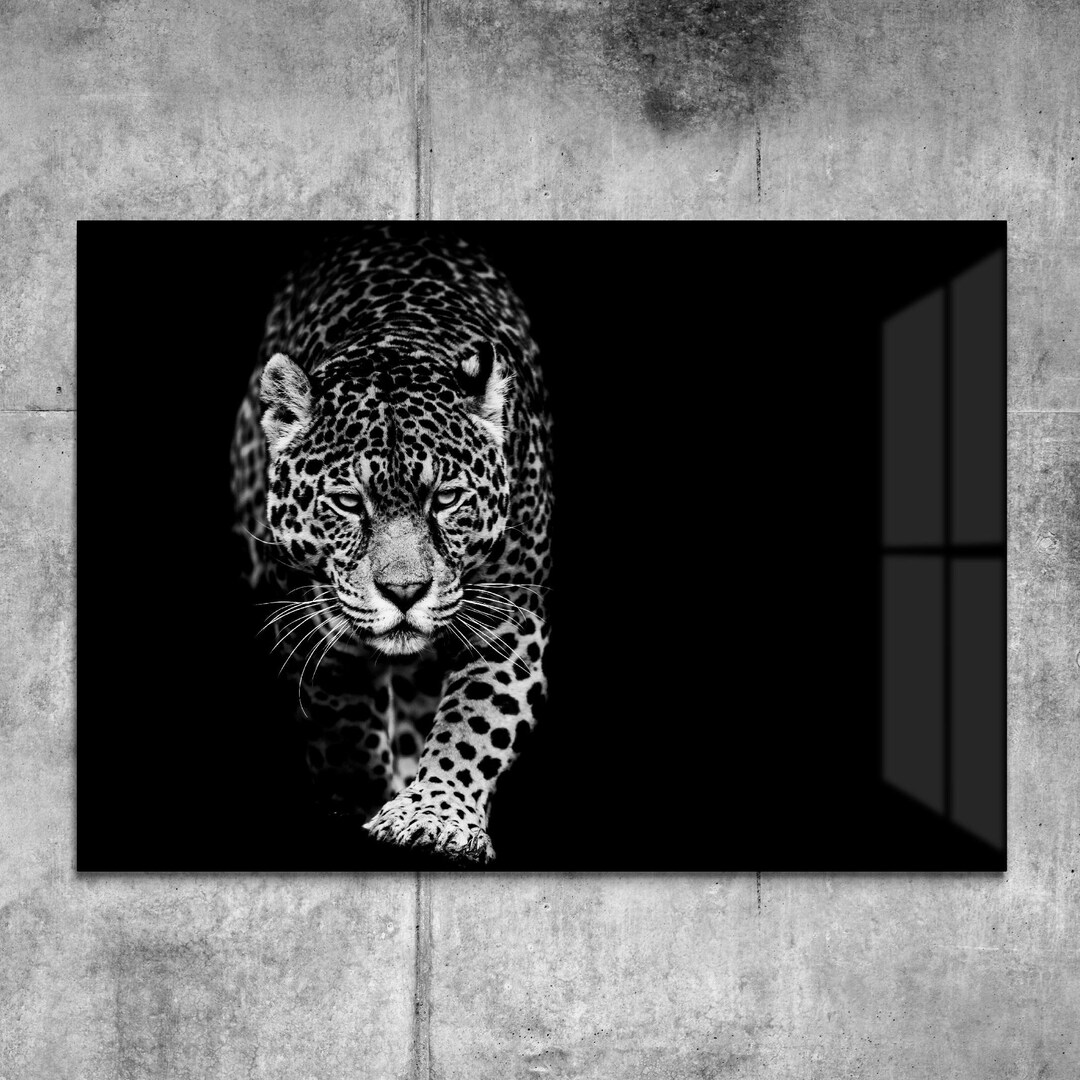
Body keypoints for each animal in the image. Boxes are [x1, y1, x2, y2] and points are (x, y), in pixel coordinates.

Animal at [229, 227, 553, 865]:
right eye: (349, 502)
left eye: (446, 498)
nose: (405, 592)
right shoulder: (310, 624)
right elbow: (342, 722)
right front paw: (356, 802)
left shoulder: (510, 617)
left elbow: (477, 717)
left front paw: (436, 815)